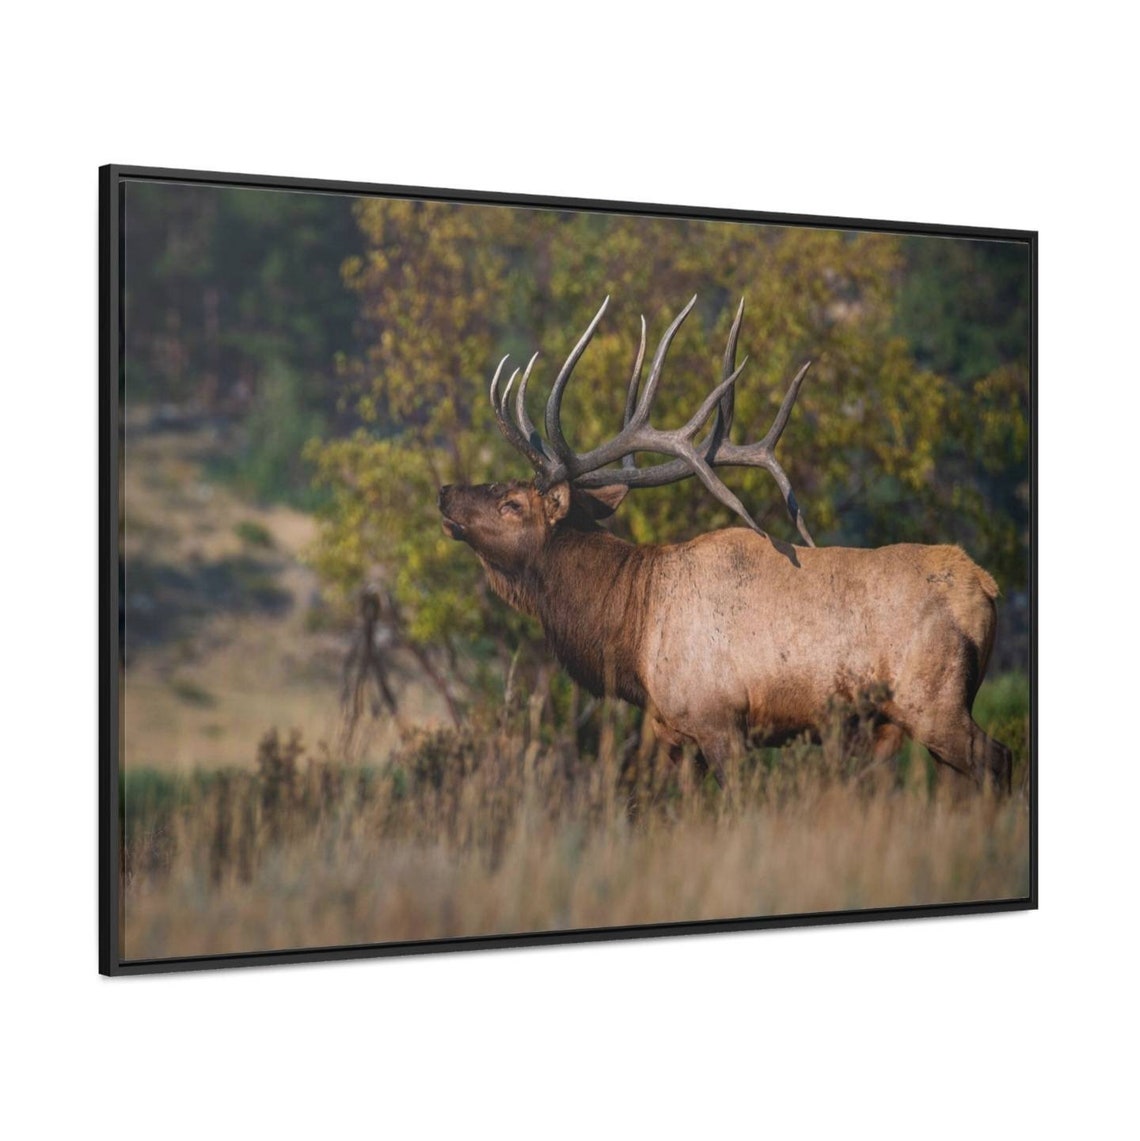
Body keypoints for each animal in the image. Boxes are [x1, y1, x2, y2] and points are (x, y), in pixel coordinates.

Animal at [438, 296, 1012, 794]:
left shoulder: (719, 720)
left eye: (513, 502)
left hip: (932, 701)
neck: (630, 631)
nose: (445, 492)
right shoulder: (675, 735)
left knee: (999, 759)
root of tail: (986, 587)